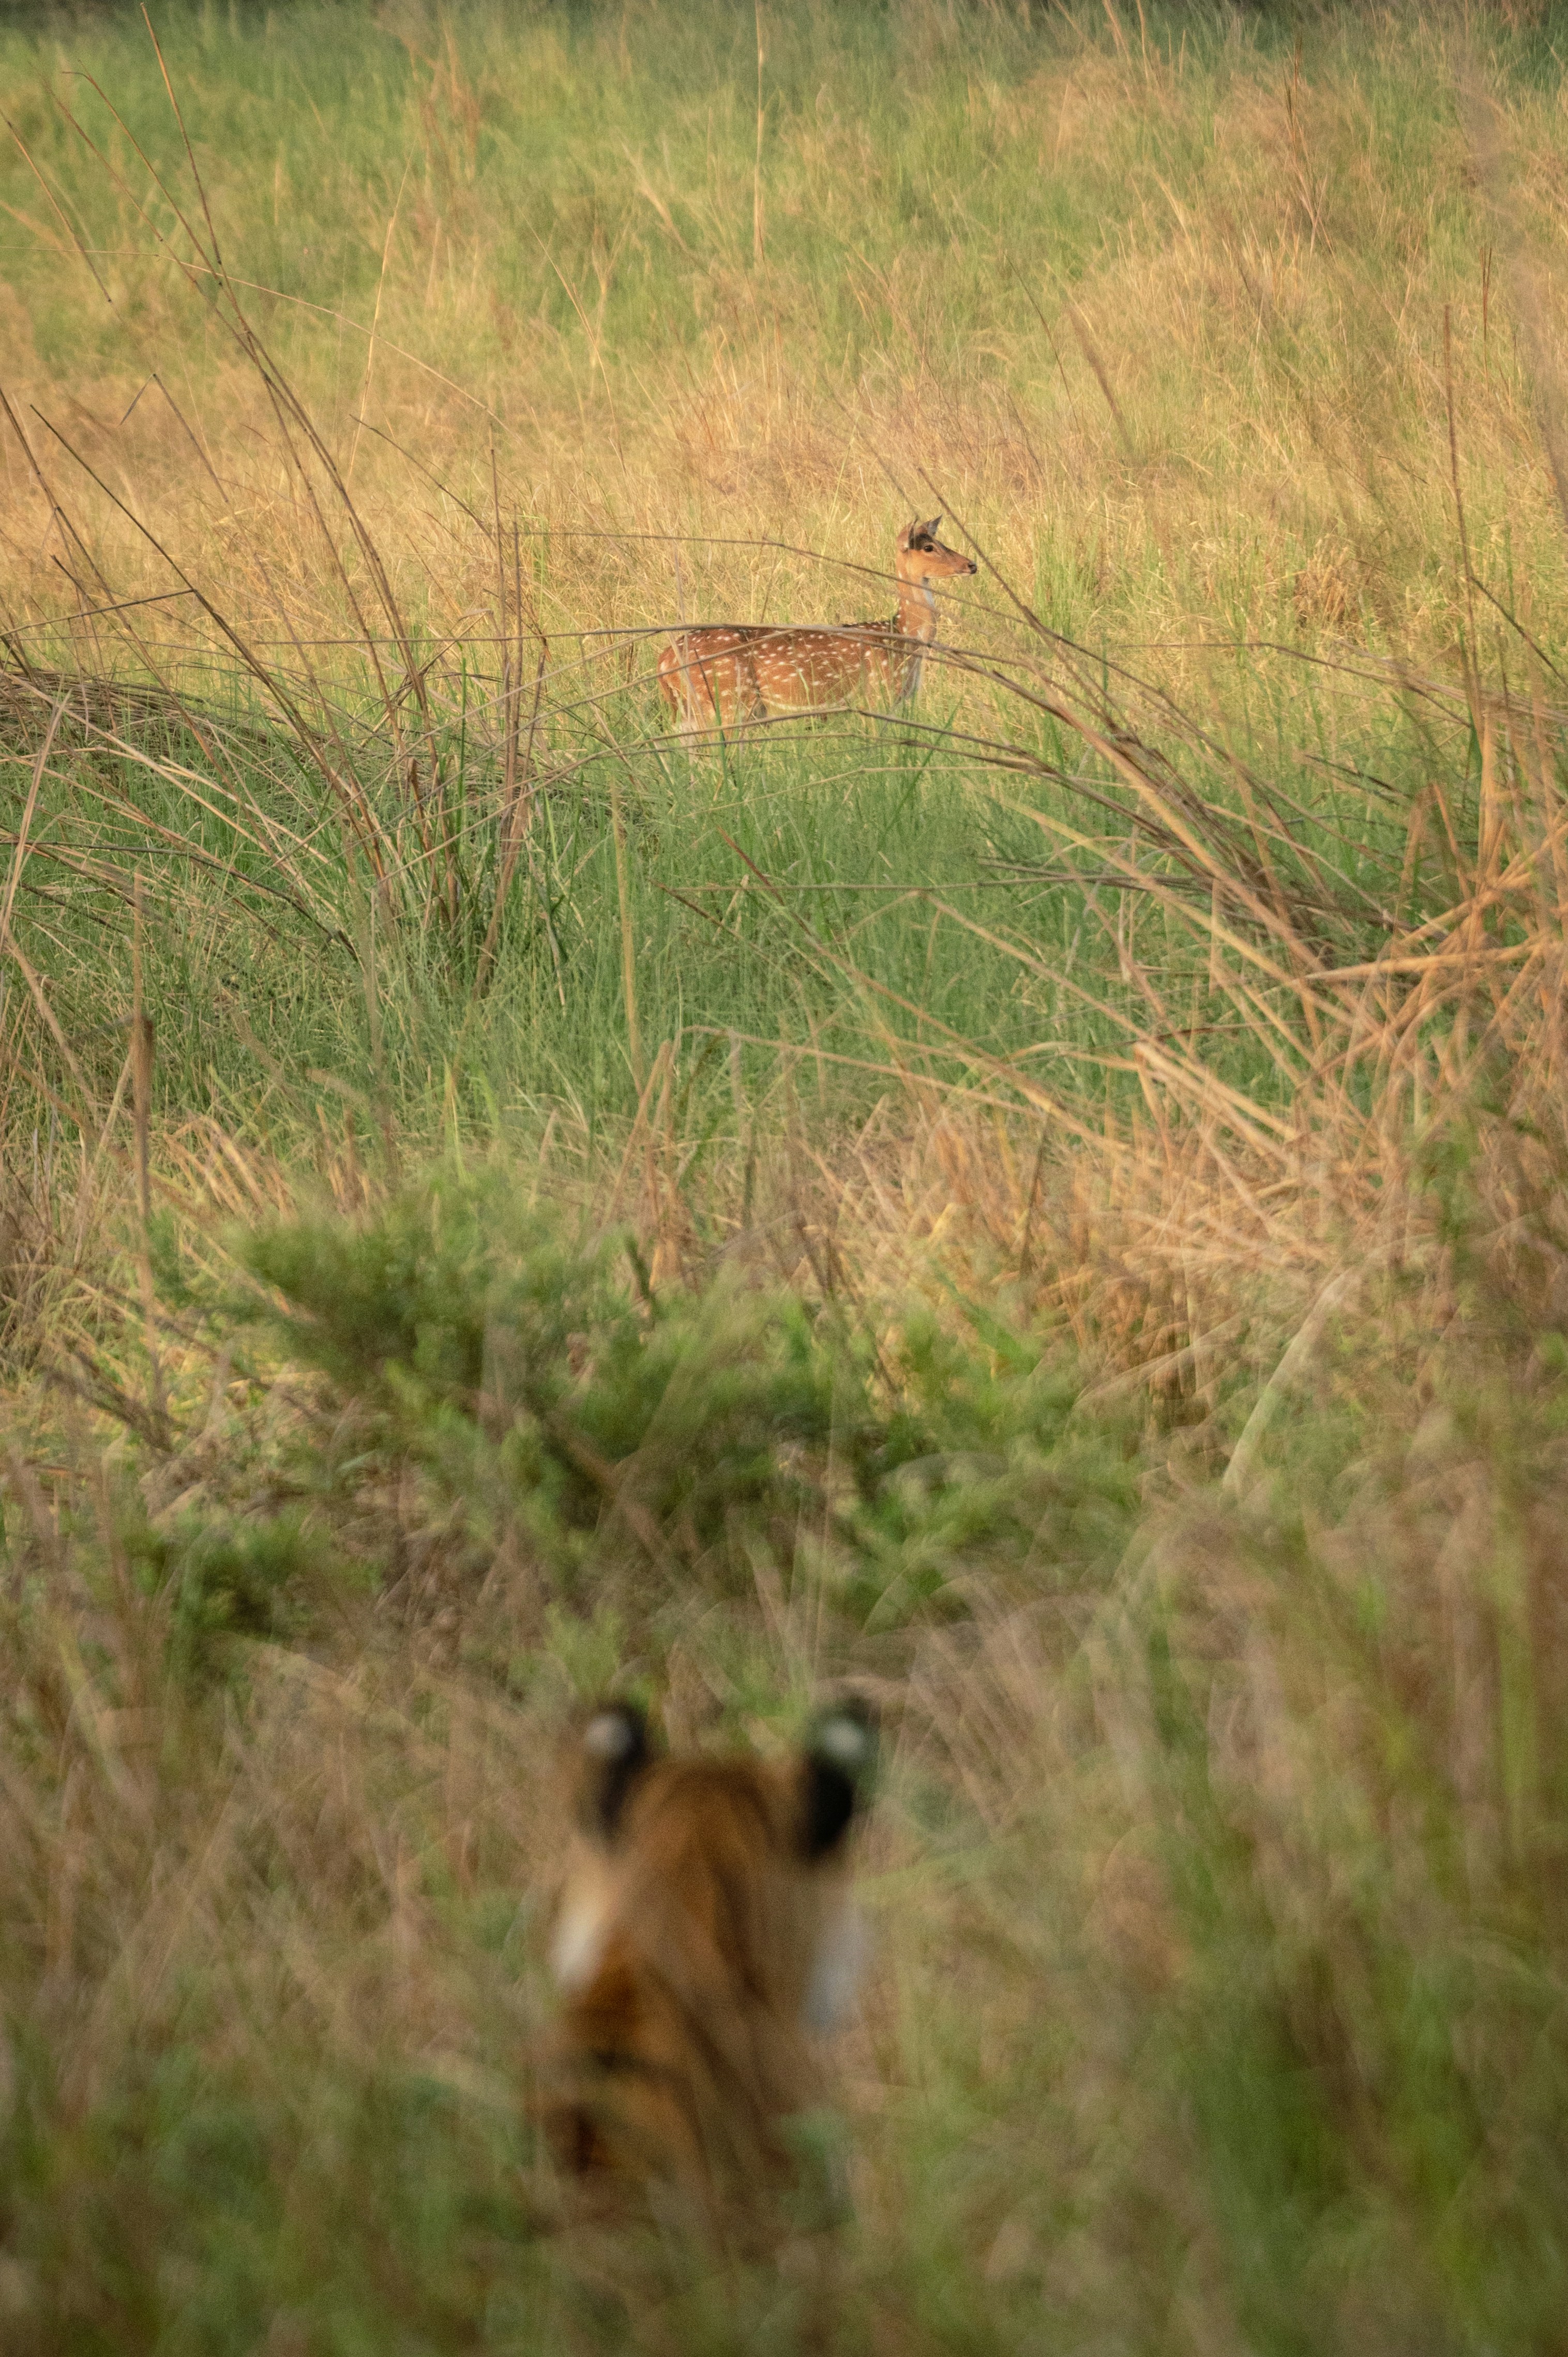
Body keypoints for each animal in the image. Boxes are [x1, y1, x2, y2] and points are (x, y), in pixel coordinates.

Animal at [656, 518, 976, 735]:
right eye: (929, 547)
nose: (972, 564)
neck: (904, 636)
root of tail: (663, 661)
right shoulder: (878, 696)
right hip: (723, 702)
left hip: (692, 711)